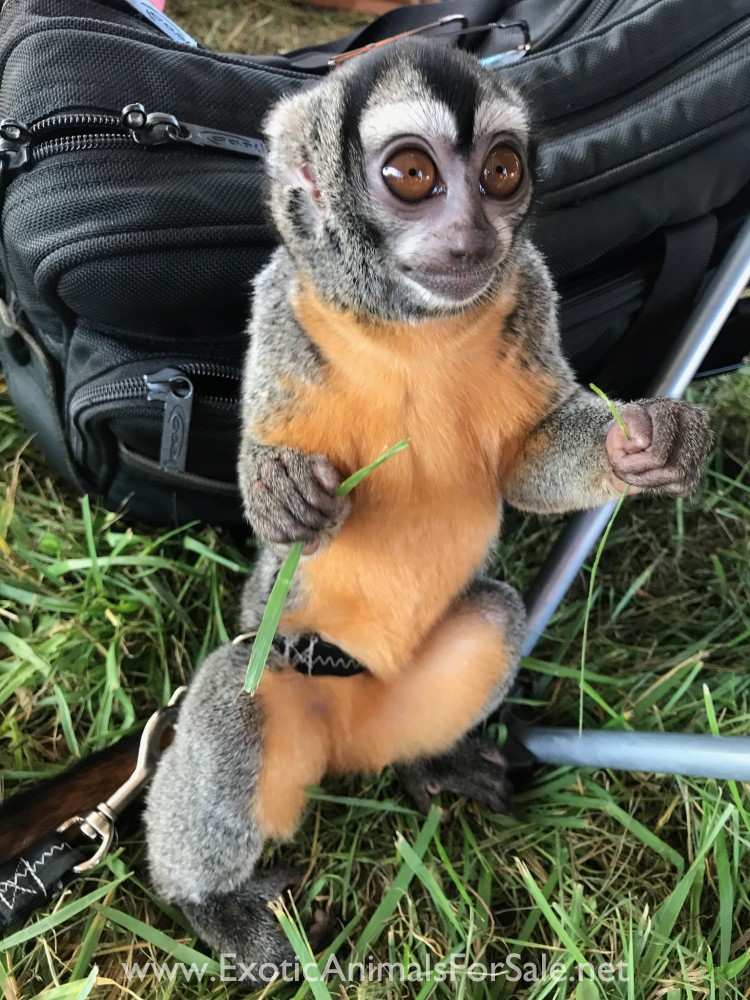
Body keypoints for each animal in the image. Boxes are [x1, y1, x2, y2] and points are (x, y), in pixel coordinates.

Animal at [144, 39, 712, 968]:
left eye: (502, 171)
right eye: (412, 174)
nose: (475, 233)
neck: (412, 326)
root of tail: (345, 745)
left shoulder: (530, 292)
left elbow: (528, 465)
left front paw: (645, 447)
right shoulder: (280, 306)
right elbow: (272, 468)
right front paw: (281, 497)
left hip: (395, 703)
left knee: (498, 615)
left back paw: (432, 767)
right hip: (293, 669)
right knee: (231, 693)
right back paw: (213, 906)